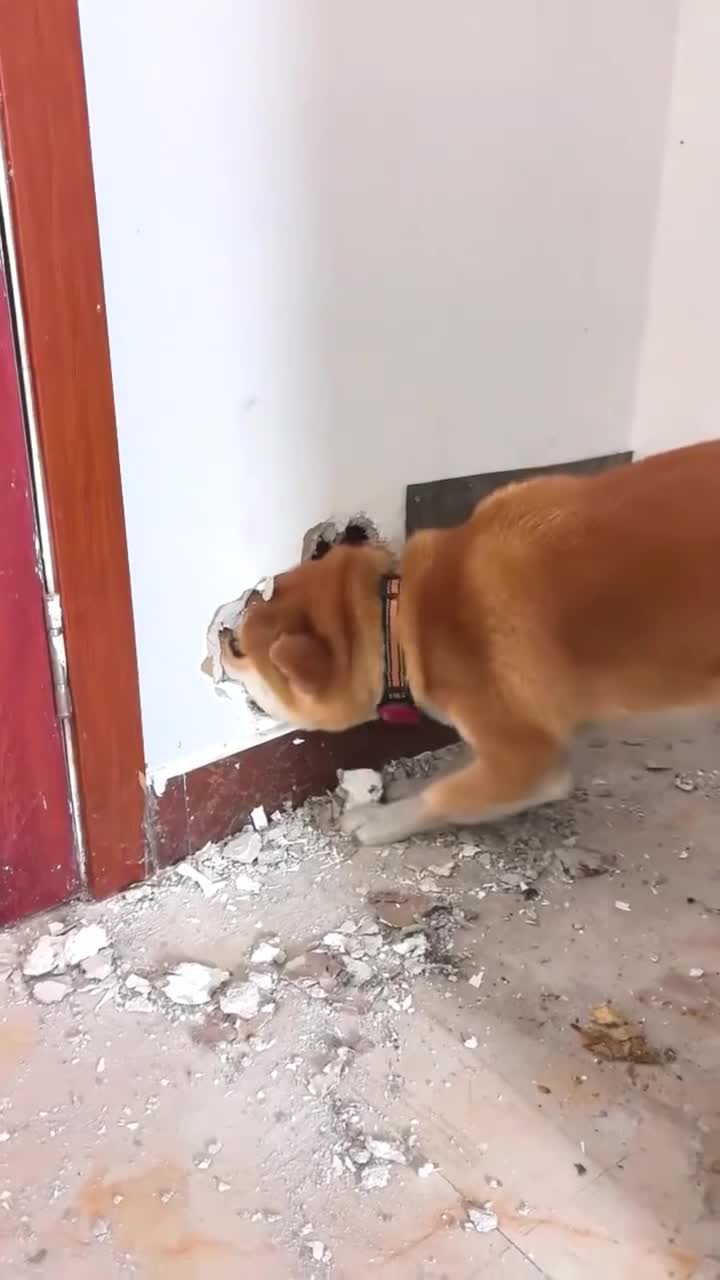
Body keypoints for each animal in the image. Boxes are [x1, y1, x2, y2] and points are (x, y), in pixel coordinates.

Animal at [220, 441, 720, 845]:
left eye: (239, 649)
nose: (220, 640)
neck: (405, 621)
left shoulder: (525, 759)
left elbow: (449, 795)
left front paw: (385, 819)